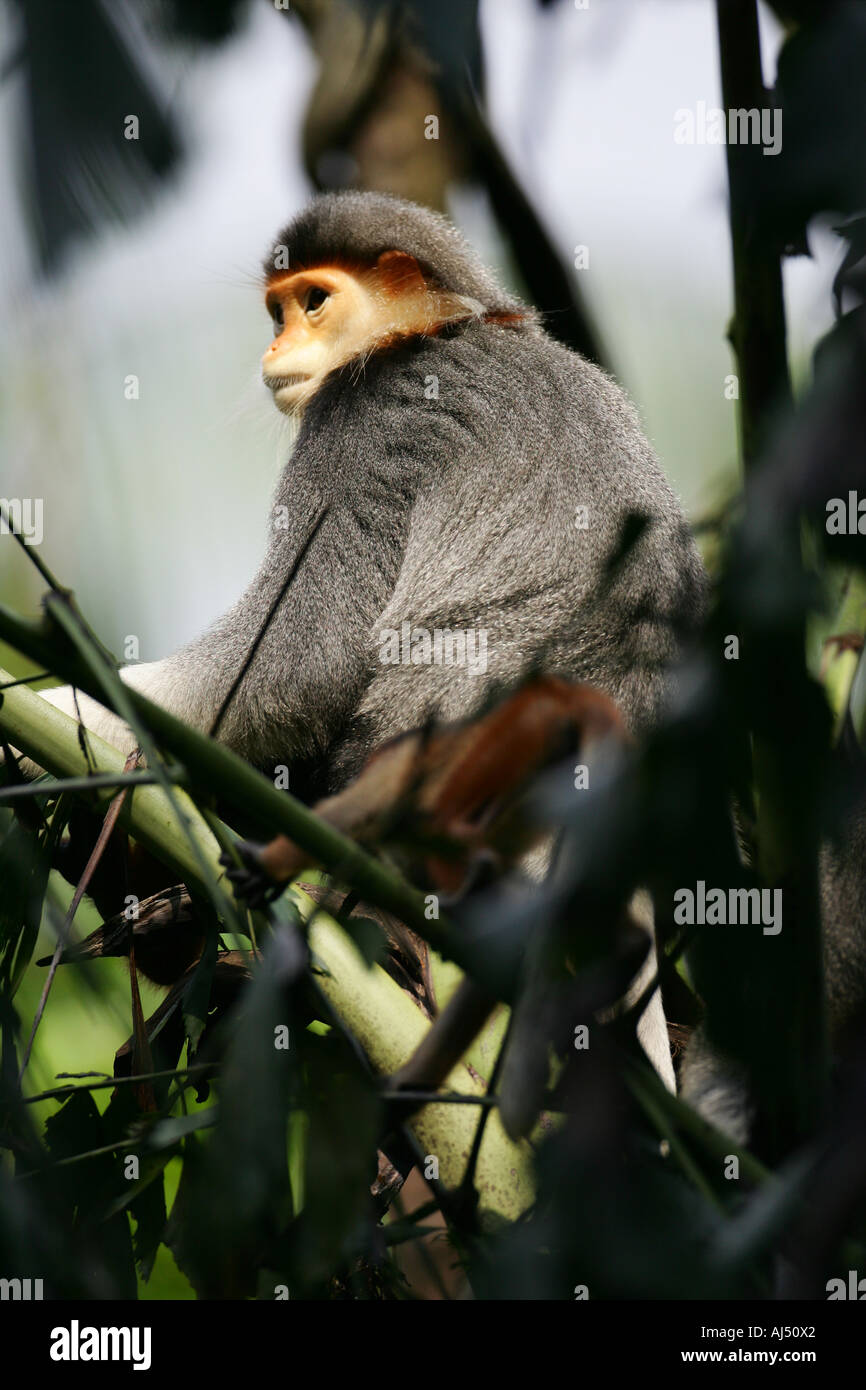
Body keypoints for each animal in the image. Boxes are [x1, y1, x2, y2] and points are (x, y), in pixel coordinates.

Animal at [5, 192, 706, 1091]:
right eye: (278, 310)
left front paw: (61, 714)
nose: (277, 345)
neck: (438, 330)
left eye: (314, 302)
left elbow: (302, 662)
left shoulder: (365, 418)